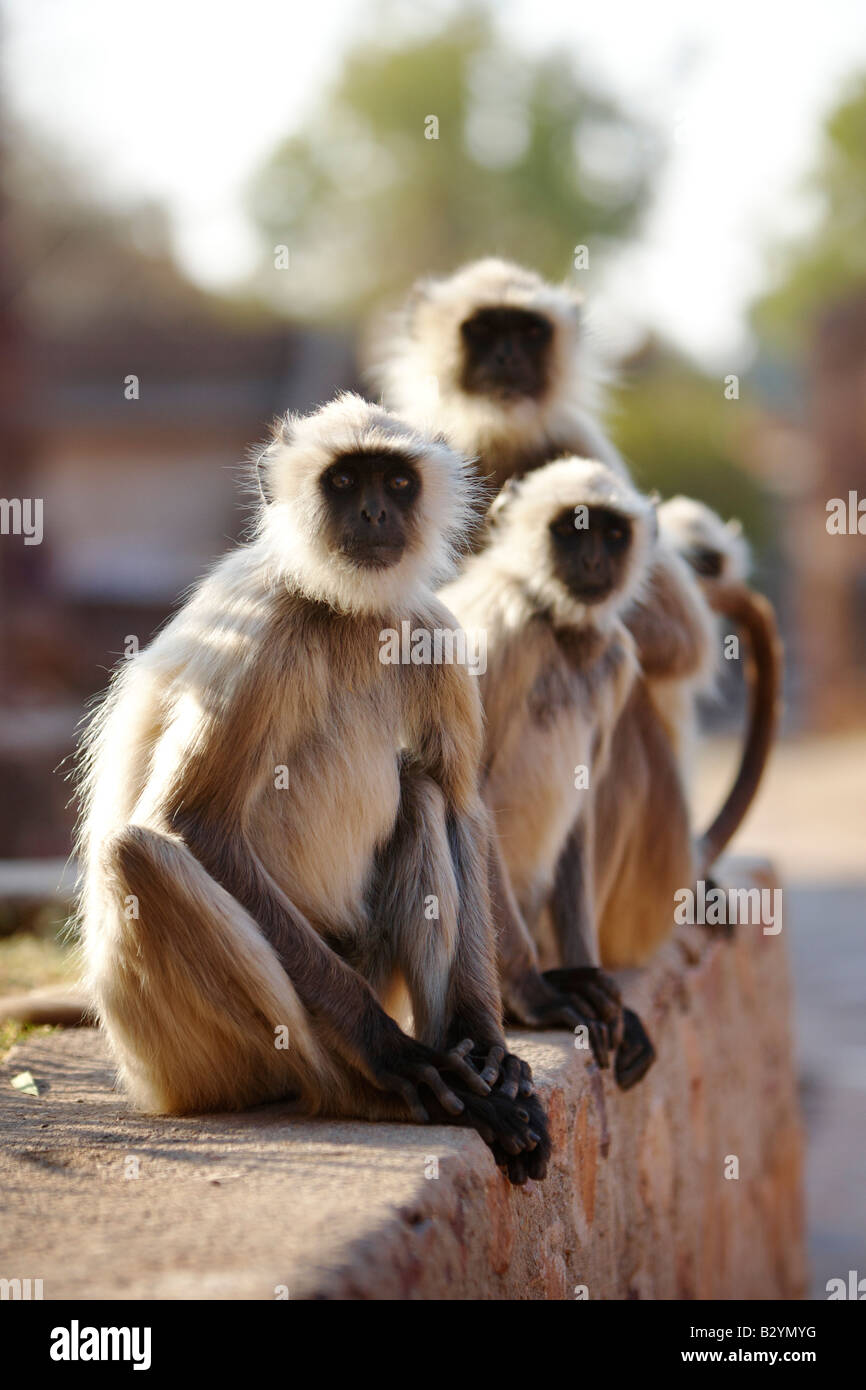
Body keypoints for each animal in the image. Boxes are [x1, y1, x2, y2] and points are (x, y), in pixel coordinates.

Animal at [74, 393, 549, 1186]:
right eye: (343, 482)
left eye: (396, 483)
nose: (373, 514)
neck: (344, 611)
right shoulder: (261, 631)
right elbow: (192, 821)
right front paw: (393, 1054)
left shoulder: (432, 629)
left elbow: (462, 809)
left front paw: (487, 1043)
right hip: (180, 1061)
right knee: (136, 853)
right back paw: (374, 1091)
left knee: (422, 795)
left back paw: (458, 1058)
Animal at [440, 457, 659, 1089]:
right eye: (569, 530)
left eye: (611, 533)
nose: (593, 562)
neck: (559, 628)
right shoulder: (502, 633)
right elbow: (470, 801)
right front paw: (536, 996)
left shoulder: (615, 657)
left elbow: (581, 811)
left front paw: (588, 980)